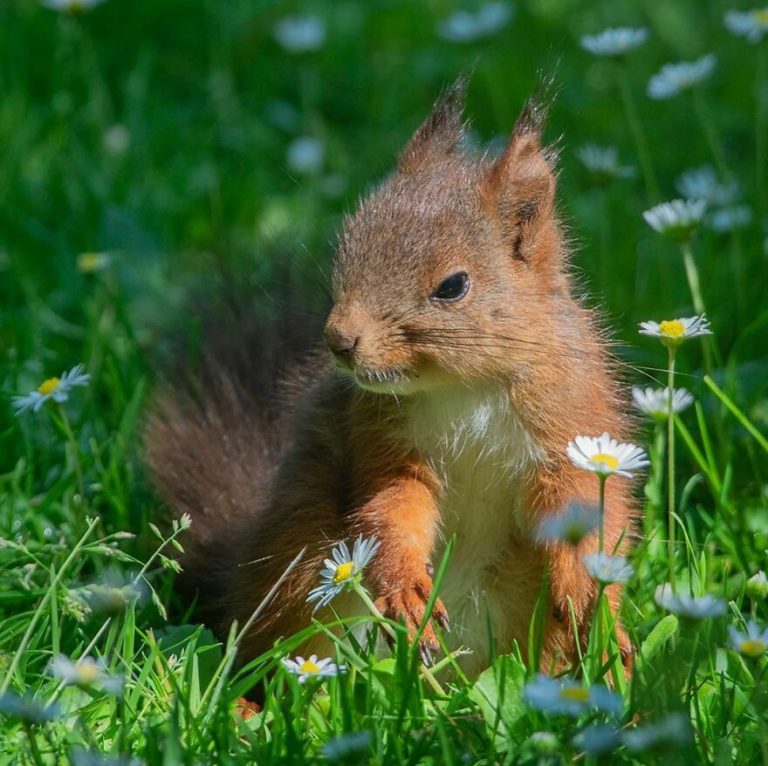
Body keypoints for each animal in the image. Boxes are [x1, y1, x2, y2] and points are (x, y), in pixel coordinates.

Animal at [146, 76, 634, 676]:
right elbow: (392, 507)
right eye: (347, 248)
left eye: (453, 286)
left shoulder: (569, 423)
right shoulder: (381, 437)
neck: (463, 388)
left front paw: (594, 599)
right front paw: (405, 587)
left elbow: (582, 514)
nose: (339, 341)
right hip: (304, 567)